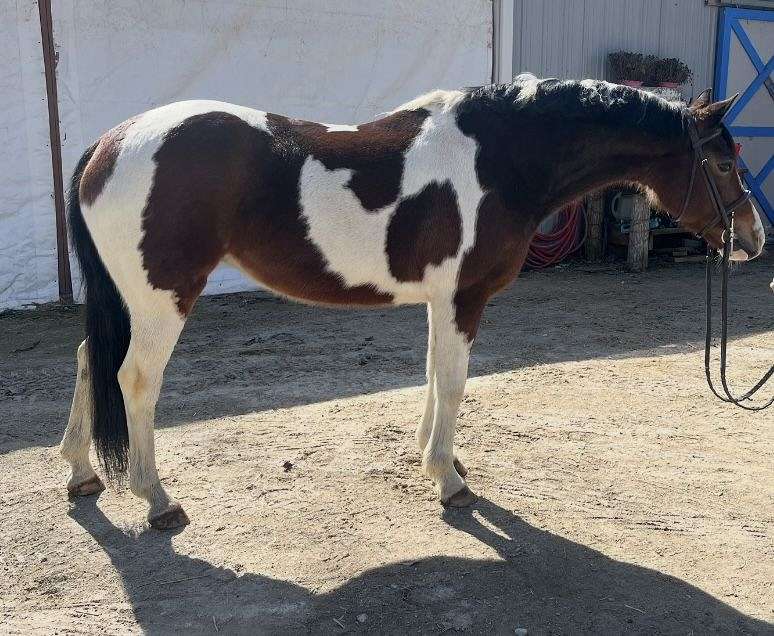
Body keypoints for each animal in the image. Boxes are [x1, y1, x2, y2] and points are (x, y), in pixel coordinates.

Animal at [60, 74, 765, 529]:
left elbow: (431, 374)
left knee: (90, 357)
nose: (753, 238)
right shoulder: (464, 296)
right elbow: (452, 383)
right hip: (162, 298)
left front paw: (438, 459)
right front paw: (449, 481)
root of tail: (109, 144)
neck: (502, 159)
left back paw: (80, 472)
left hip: (128, 299)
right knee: (134, 379)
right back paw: (157, 500)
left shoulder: (441, 298)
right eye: (723, 163)